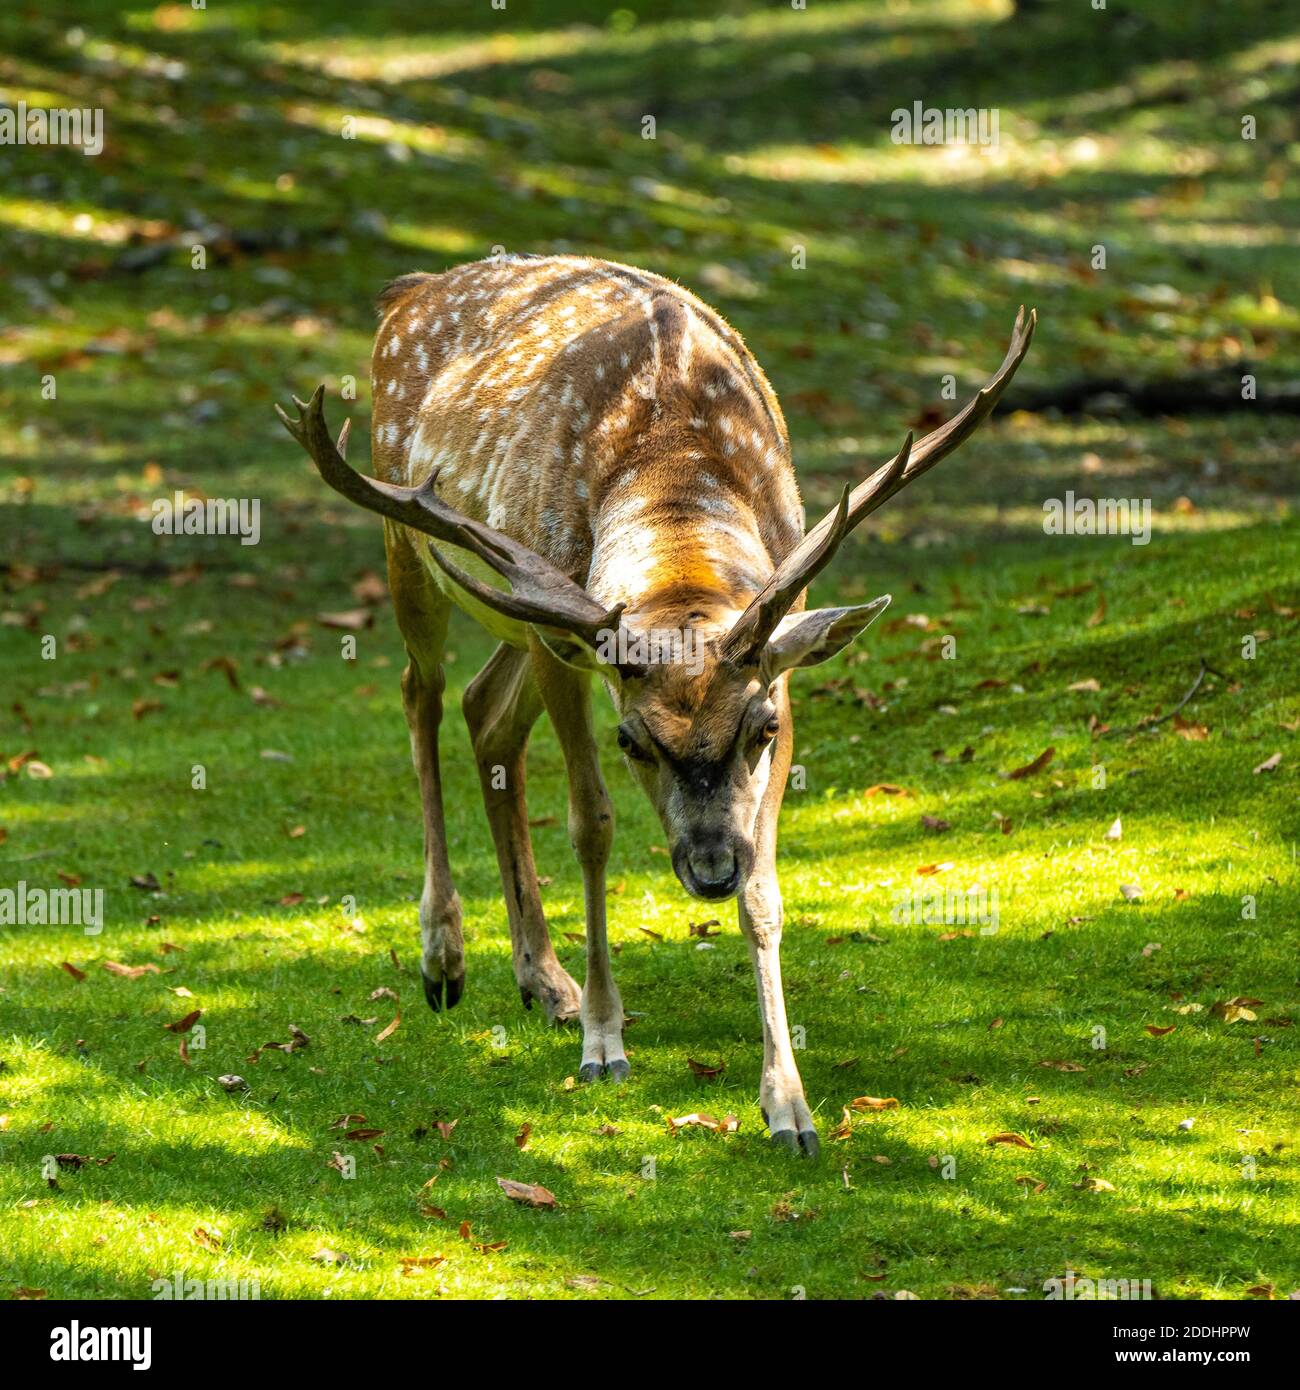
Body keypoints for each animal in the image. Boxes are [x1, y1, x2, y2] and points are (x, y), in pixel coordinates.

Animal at [277, 254, 1035, 1156]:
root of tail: (408, 288)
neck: (673, 470)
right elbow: (590, 825)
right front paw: (605, 1045)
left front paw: (789, 1107)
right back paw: (445, 957)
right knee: (419, 694)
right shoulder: (566, 640)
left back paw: (544, 982)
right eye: (632, 742)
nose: (708, 870)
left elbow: (767, 889)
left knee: (482, 710)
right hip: (414, 550)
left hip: (516, 612)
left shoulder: (774, 663)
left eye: (761, 731)